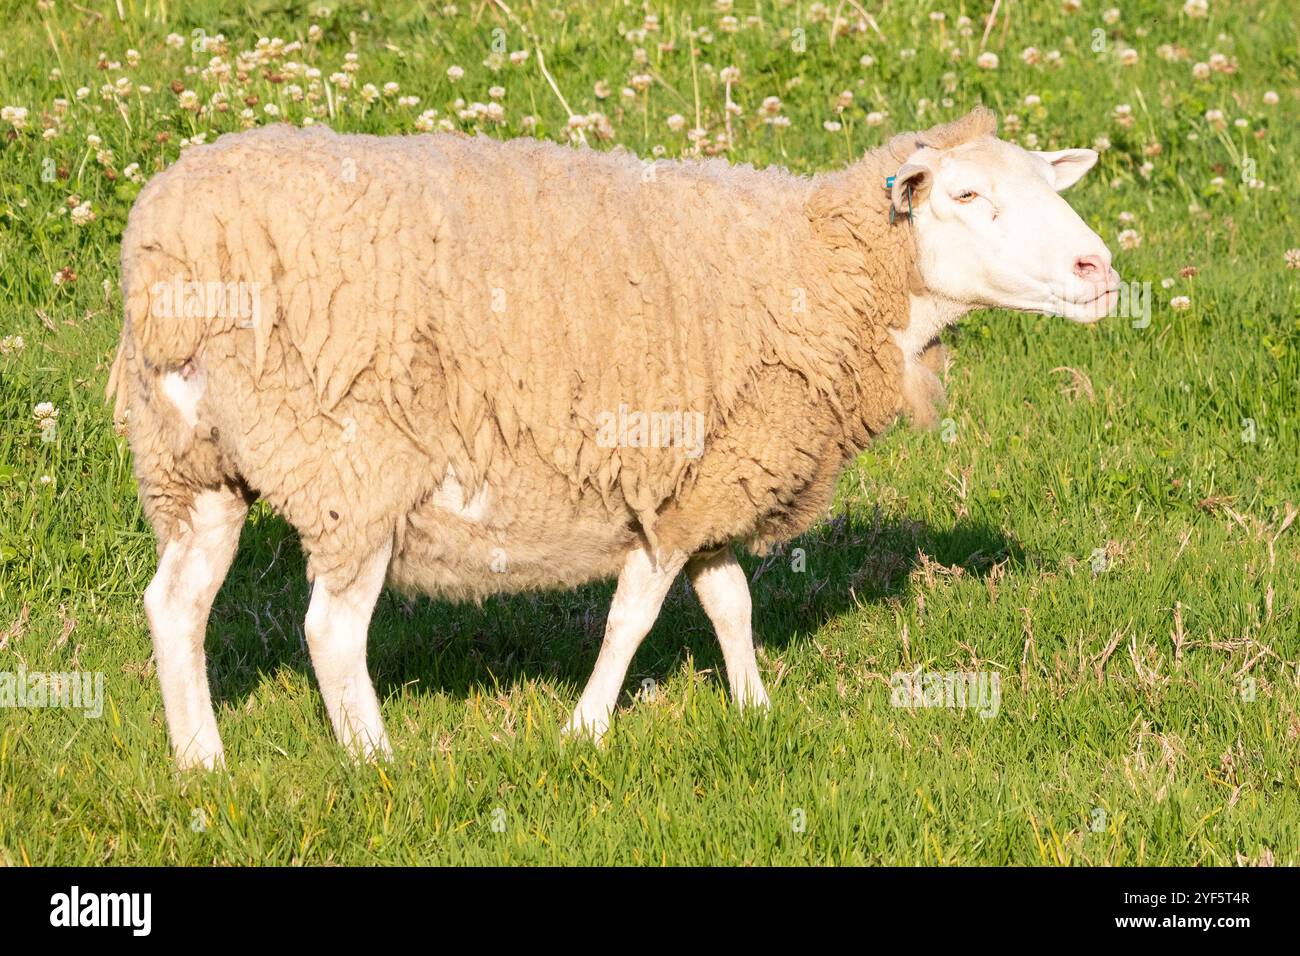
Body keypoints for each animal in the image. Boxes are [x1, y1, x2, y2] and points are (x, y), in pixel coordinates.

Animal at [109, 107, 1117, 768]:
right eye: (967, 193)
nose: (1098, 269)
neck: (818, 273)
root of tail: (171, 243)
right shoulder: (676, 487)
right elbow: (634, 614)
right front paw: (585, 729)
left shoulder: (718, 473)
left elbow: (729, 603)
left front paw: (755, 709)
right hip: (350, 464)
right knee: (329, 630)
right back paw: (377, 763)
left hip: (194, 464)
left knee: (175, 604)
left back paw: (202, 762)